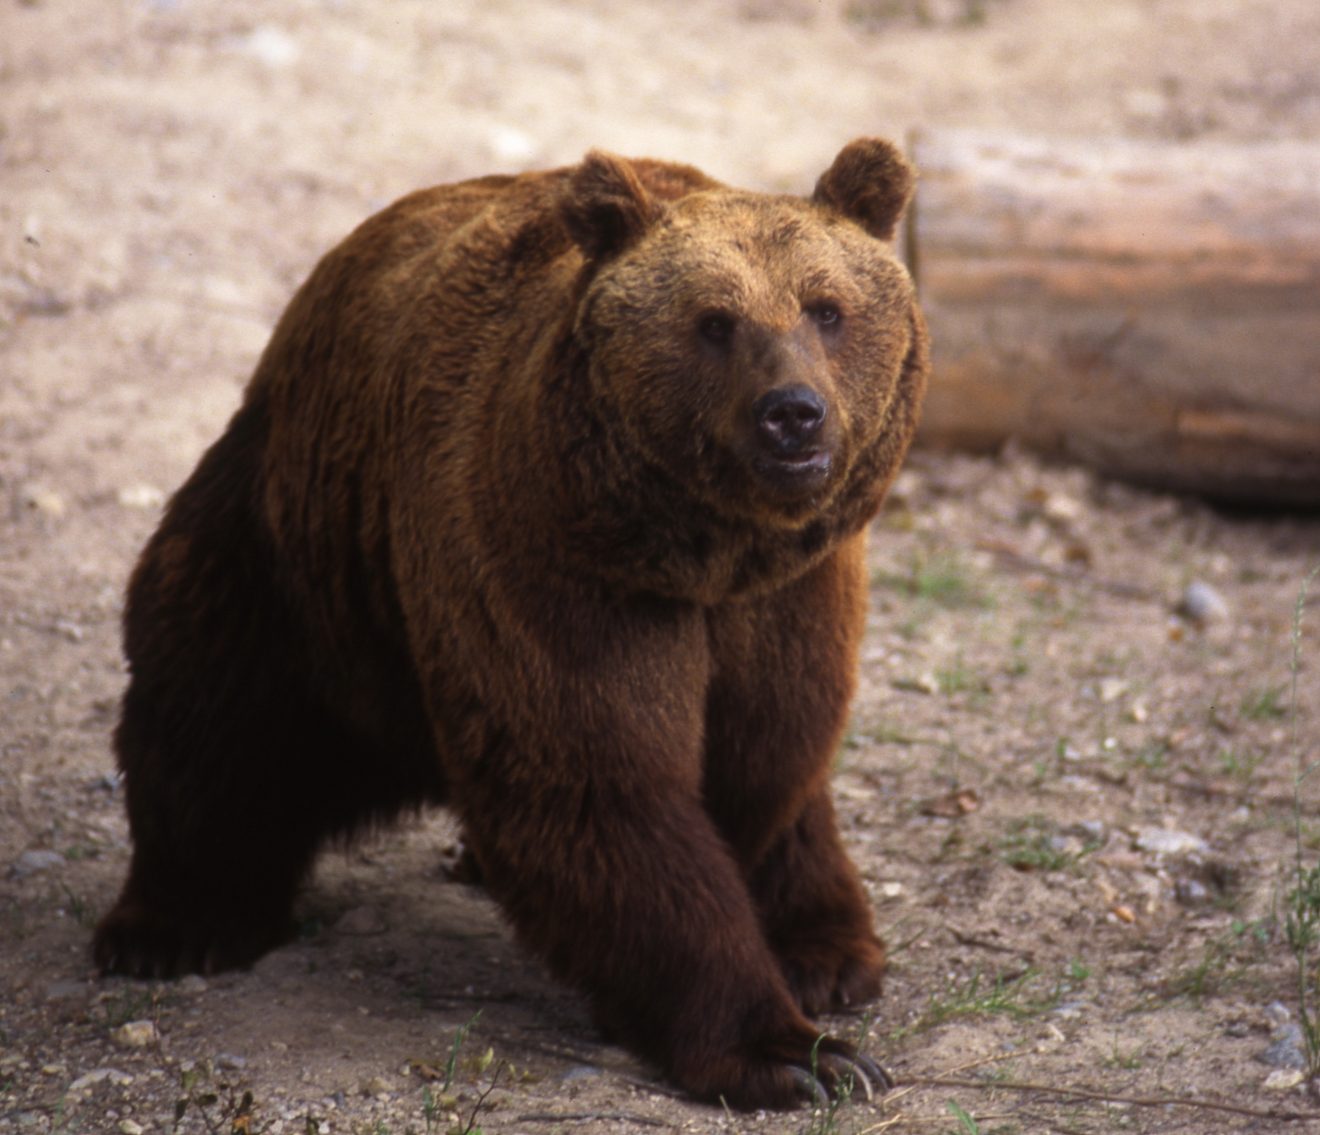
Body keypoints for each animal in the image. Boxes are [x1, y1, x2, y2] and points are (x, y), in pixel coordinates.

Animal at [92, 138, 929, 1109]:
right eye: (715, 321)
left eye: (827, 308)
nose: (792, 411)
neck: (707, 552)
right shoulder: (551, 568)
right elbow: (600, 786)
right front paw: (793, 1053)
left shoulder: (791, 600)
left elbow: (762, 761)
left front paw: (806, 1010)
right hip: (297, 555)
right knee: (215, 715)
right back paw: (173, 924)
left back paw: (828, 949)